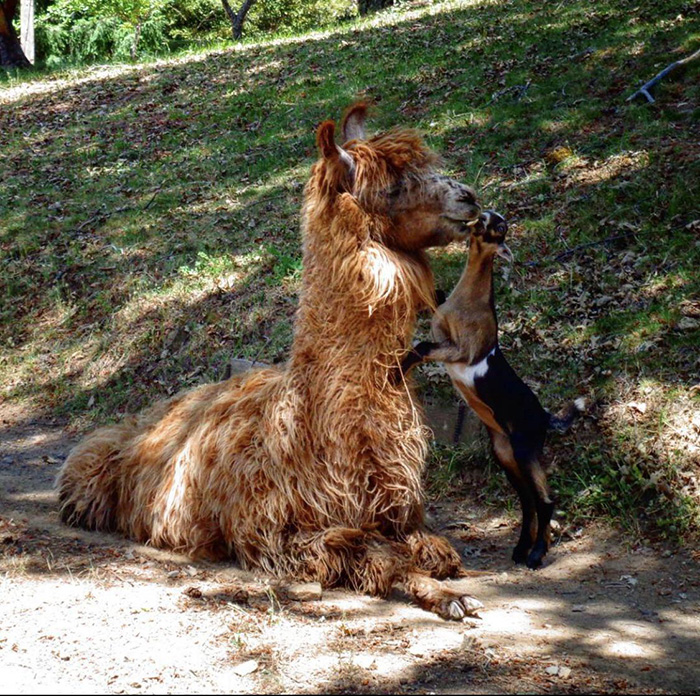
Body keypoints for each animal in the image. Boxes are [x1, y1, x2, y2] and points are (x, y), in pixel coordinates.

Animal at [402, 211, 584, 569]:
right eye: (492, 219)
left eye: (500, 227)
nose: (485, 214)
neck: (468, 300)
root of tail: (545, 416)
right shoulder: (443, 330)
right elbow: (427, 326)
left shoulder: (463, 351)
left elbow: (422, 346)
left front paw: (395, 372)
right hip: (504, 452)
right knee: (528, 500)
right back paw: (521, 548)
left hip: (526, 448)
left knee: (544, 500)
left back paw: (537, 554)